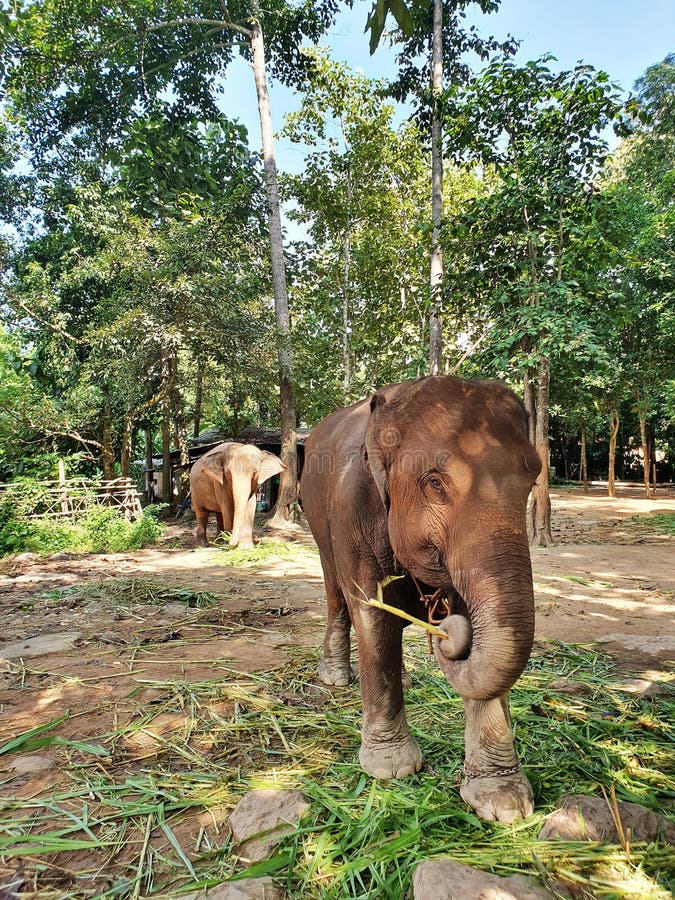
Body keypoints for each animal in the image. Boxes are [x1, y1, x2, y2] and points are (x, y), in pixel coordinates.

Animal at [300, 375, 541, 824]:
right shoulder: (352, 507)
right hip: (318, 522)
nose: (445, 634)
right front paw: (390, 768)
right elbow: (372, 614)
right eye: (434, 482)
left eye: (532, 478)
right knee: (335, 595)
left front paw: (504, 803)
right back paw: (336, 676)